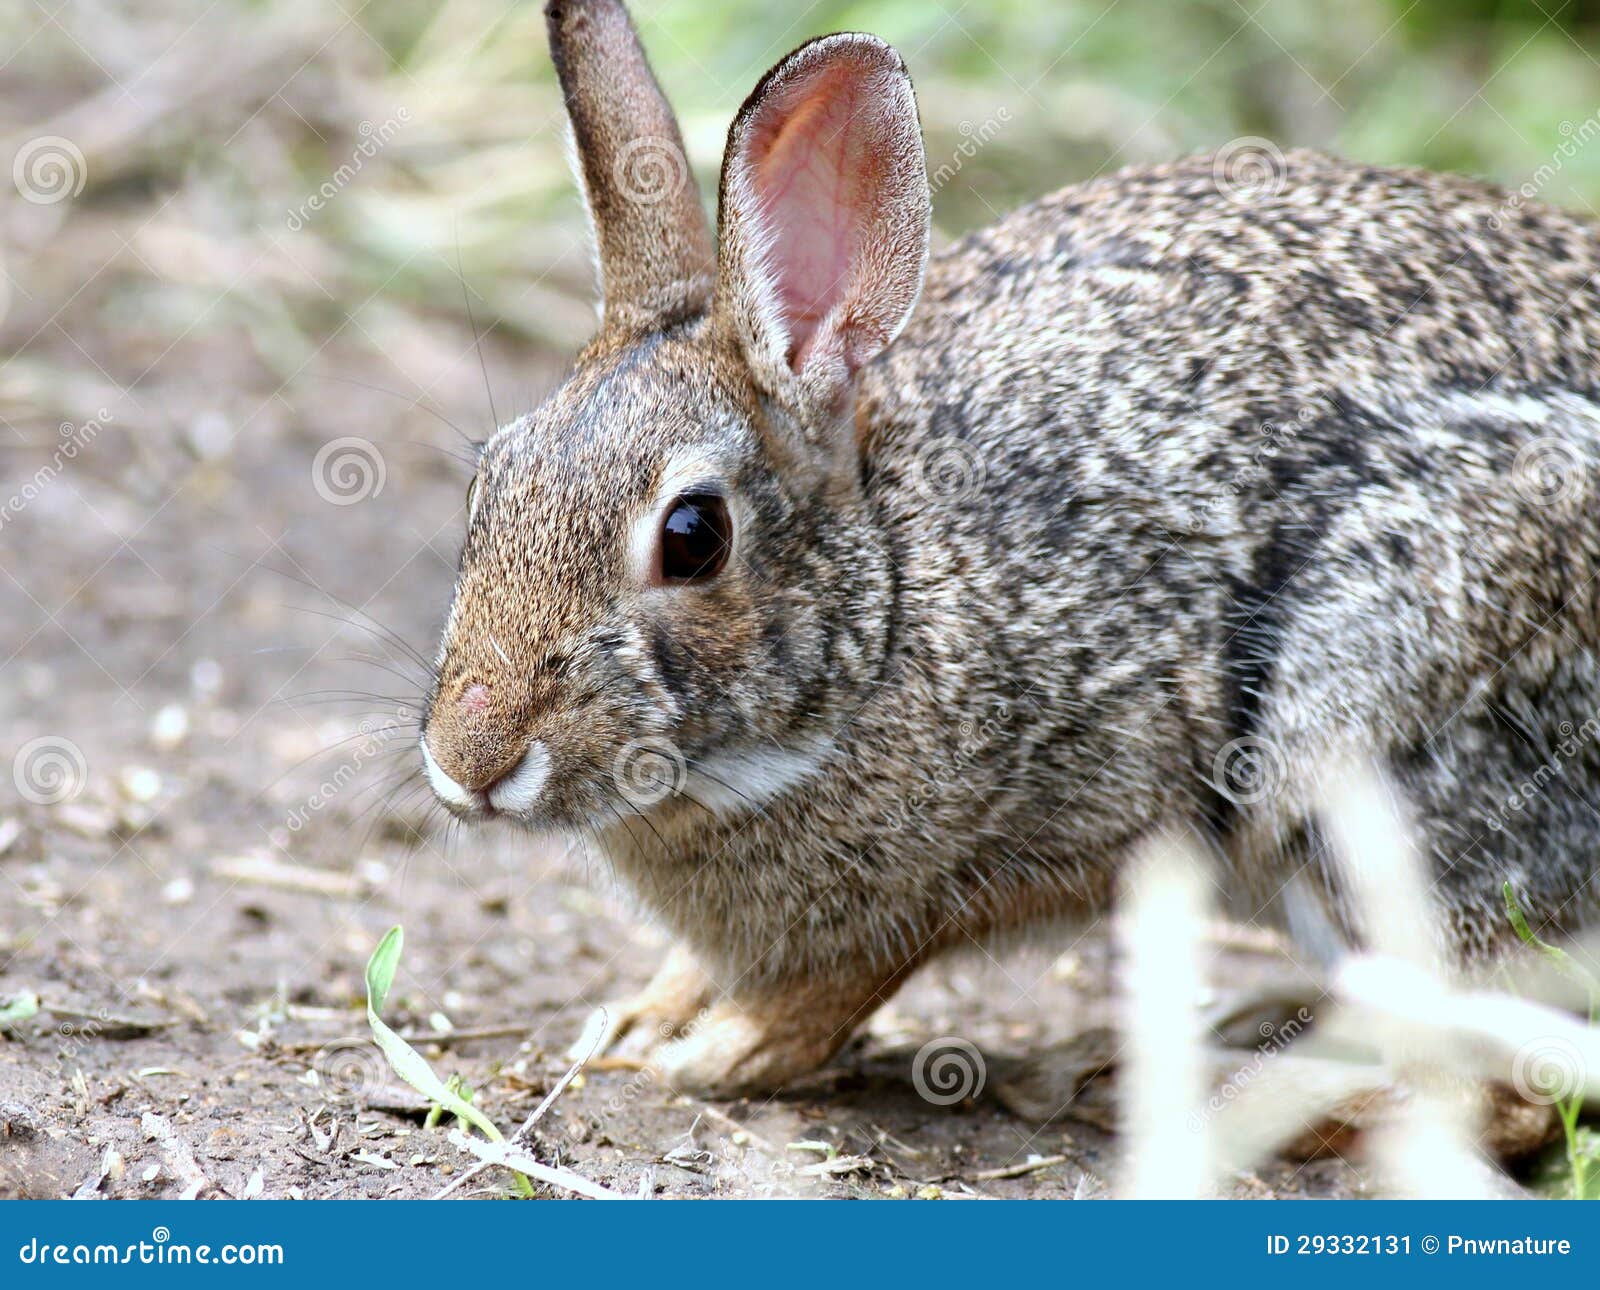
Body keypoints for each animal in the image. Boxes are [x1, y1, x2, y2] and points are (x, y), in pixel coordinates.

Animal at [417, 0, 1600, 1098]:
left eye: (693, 537)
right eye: (487, 484)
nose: (469, 764)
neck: (892, 604)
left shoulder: (1101, 801)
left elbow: (873, 961)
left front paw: (726, 1051)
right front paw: (640, 1018)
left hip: (1365, 740)